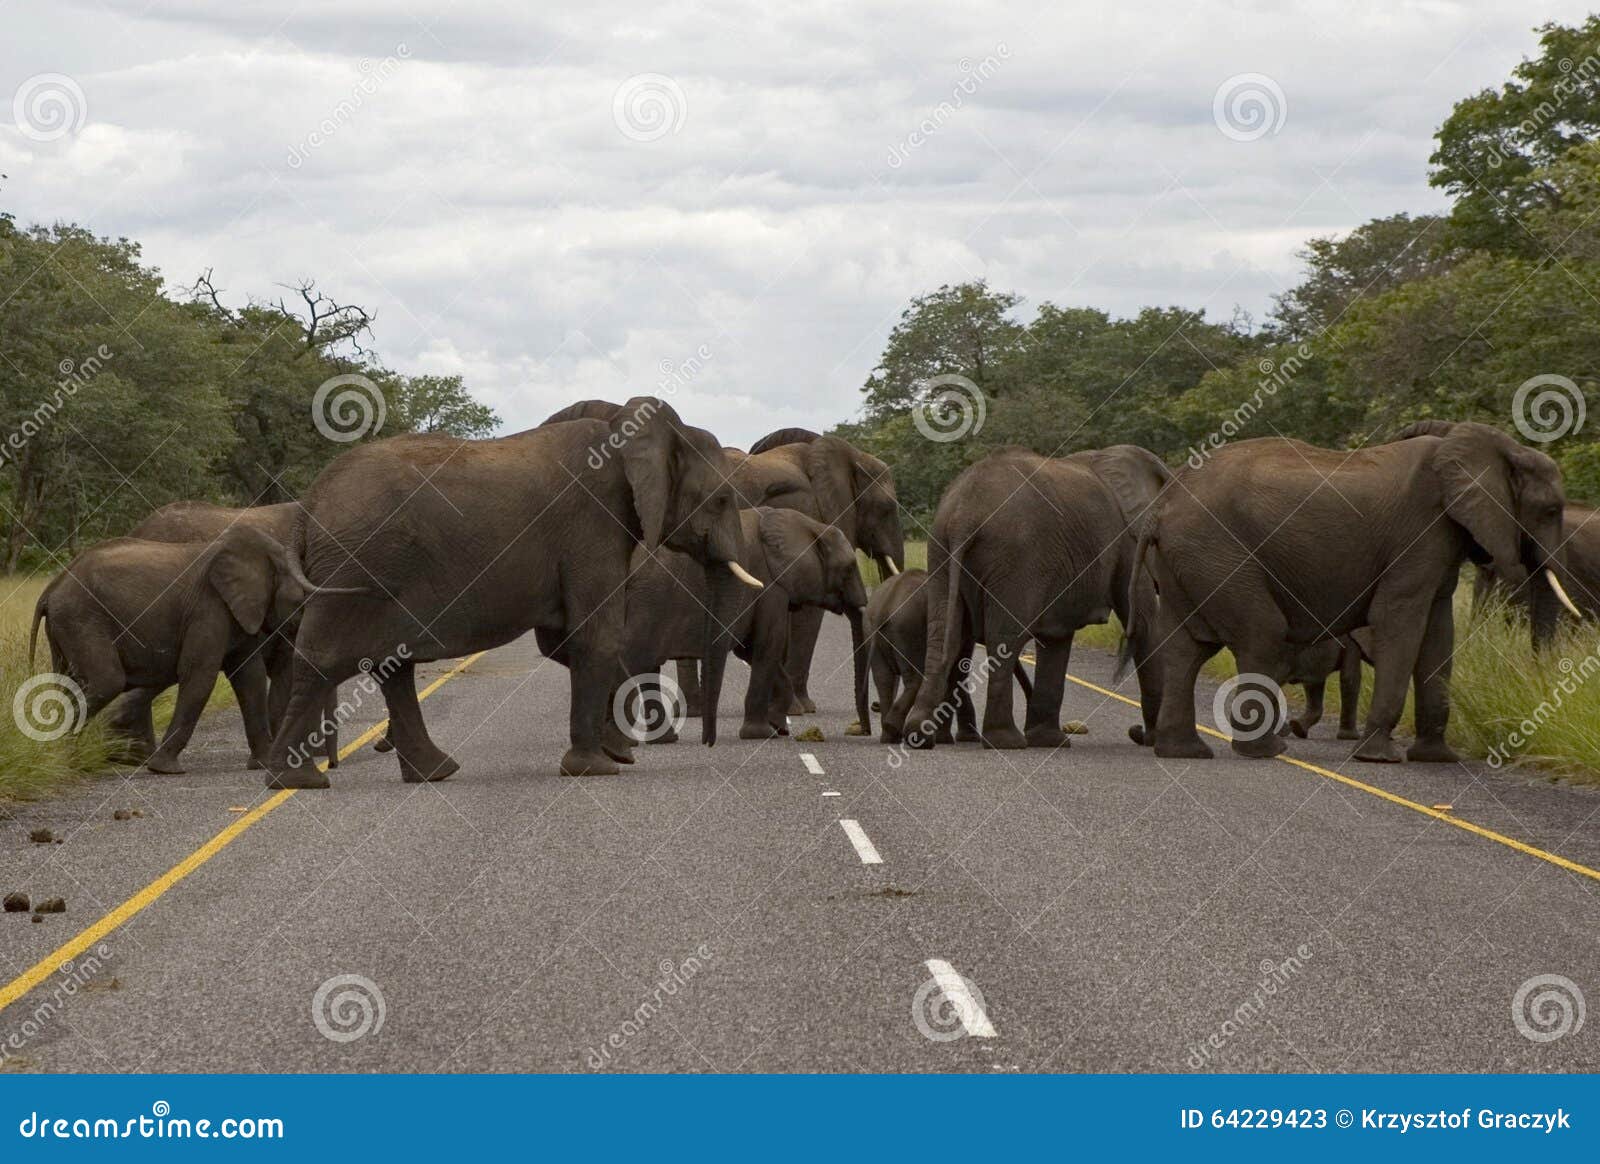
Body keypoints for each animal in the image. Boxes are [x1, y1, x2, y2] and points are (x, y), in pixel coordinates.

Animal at [260, 397, 751, 788]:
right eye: (722, 500)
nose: (707, 743)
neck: (629, 430)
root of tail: (309, 505)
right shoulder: (591, 527)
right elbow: (598, 636)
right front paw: (598, 767)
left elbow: (563, 643)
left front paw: (616, 751)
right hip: (357, 566)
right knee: (326, 660)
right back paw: (295, 780)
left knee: (391, 665)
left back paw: (433, 772)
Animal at [617, 507, 870, 744]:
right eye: (849, 568)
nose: (860, 730)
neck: (811, 526)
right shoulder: (769, 585)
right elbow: (767, 646)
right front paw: (761, 734)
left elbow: (751, 650)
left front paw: (779, 727)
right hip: (650, 601)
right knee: (633, 659)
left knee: (647, 667)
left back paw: (663, 740)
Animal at [863, 567, 1034, 744]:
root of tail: (885, 606)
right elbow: (956, 670)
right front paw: (952, 739)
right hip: (908, 630)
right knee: (913, 679)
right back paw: (894, 731)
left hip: (872, 629)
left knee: (883, 680)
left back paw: (889, 737)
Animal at [904, 444, 1172, 751]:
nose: (1134, 731)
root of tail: (963, 514)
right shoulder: (1128, 539)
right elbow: (1145, 622)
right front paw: (1152, 739)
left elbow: (1057, 638)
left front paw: (1049, 741)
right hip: (1016, 557)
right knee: (1004, 639)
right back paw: (1006, 741)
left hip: (940, 550)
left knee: (943, 634)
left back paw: (920, 735)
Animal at [1135, 422, 1570, 763]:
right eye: (1551, 510)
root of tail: (1160, 508)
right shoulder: (1421, 534)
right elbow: (1399, 621)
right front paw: (1379, 757)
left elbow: (1438, 632)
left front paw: (1437, 758)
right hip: (1216, 552)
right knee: (1262, 633)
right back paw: (1266, 751)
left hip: (1187, 560)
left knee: (1186, 649)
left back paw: (1185, 752)